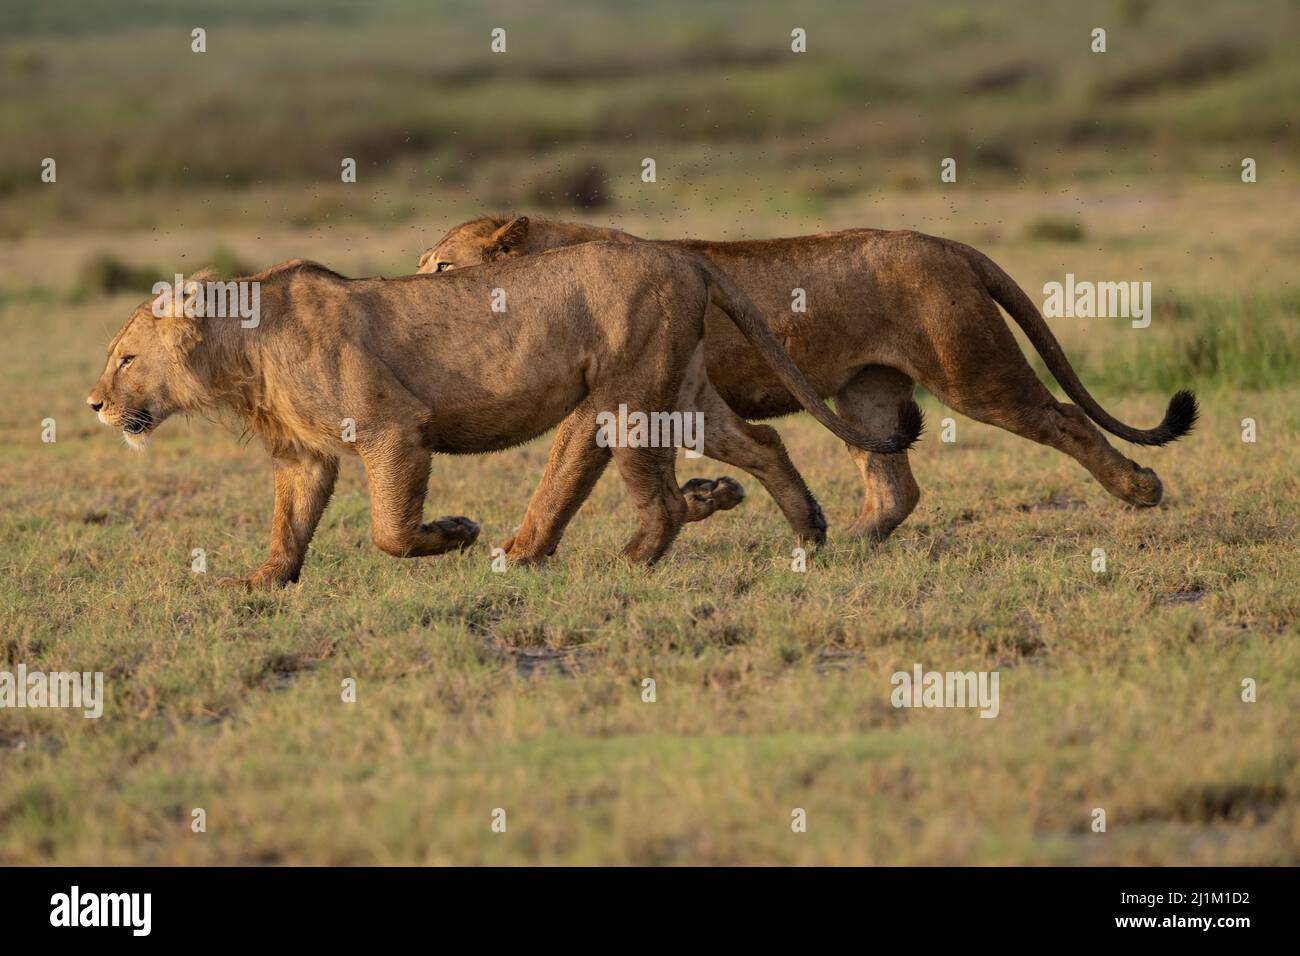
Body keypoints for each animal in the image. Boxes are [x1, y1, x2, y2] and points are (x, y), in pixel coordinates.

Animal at [88, 243, 921, 587]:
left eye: (125, 358)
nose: (93, 404)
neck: (242, 354)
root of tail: (685, 256)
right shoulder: (305, 454)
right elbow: (289, 525)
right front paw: (262, 584)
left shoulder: (395, 427)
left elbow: (389, 532)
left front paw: (456, 533)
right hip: (682, 391)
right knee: (764, 440)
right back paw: (805, 529)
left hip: (628, 394)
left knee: (659, 501)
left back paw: (627, 562)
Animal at [419, 216, 1198, 541]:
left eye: (442, 267)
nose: (412, 295)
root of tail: (947, 244)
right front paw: (716, 499)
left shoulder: (602, 401)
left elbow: (558, 478)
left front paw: (518, 552)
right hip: (867, 392)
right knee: (895, 481)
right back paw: (850, 540)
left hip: (974, 373)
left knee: (1064, 418)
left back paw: (1140, 488)